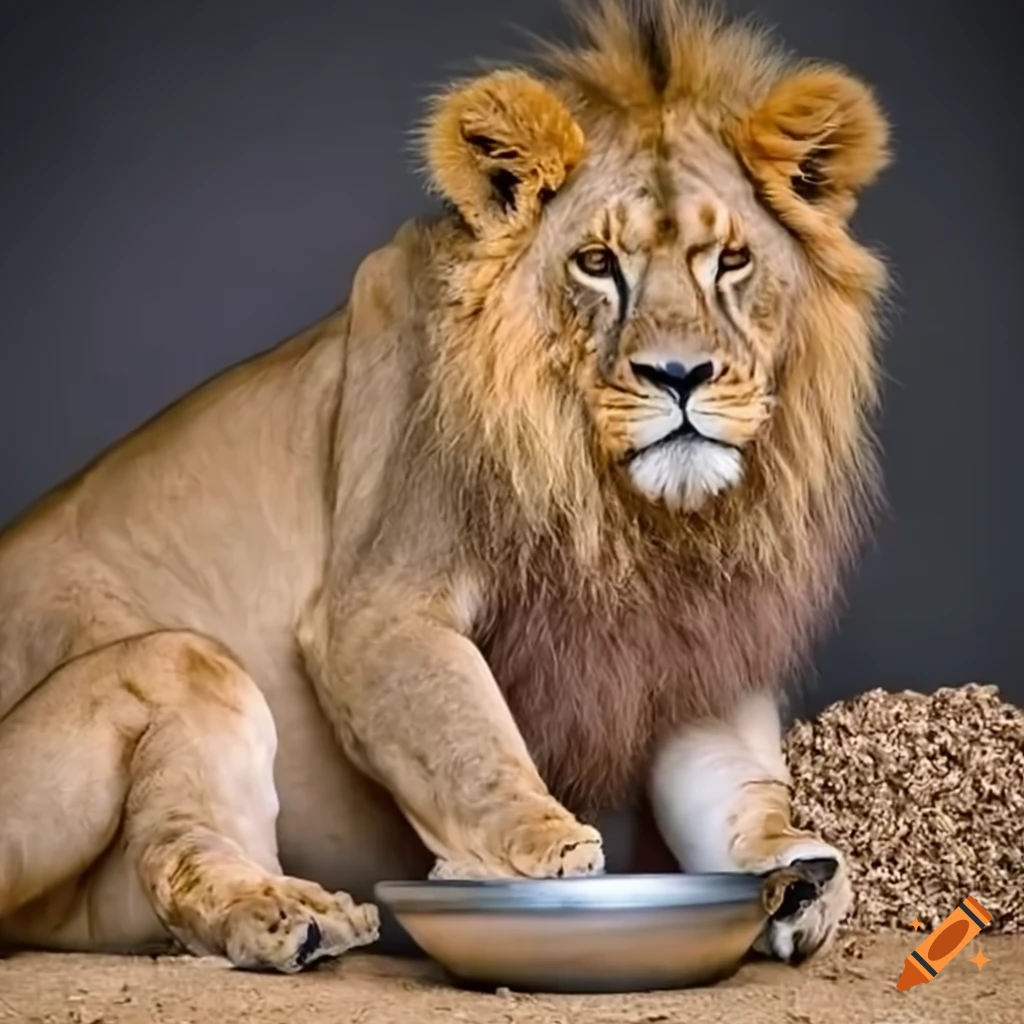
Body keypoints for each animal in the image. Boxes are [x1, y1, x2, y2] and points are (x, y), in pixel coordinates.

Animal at [0, 0, 890, 973]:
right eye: (596, 263)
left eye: (729, 260)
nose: (679, 374)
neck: (633, 516)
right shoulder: (377, 603)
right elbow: (465, 732)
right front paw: (540, 855)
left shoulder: (692, 647)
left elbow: (735, 784)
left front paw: (797, 872)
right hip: (170, 667)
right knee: (180, 850)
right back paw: (284, 915)